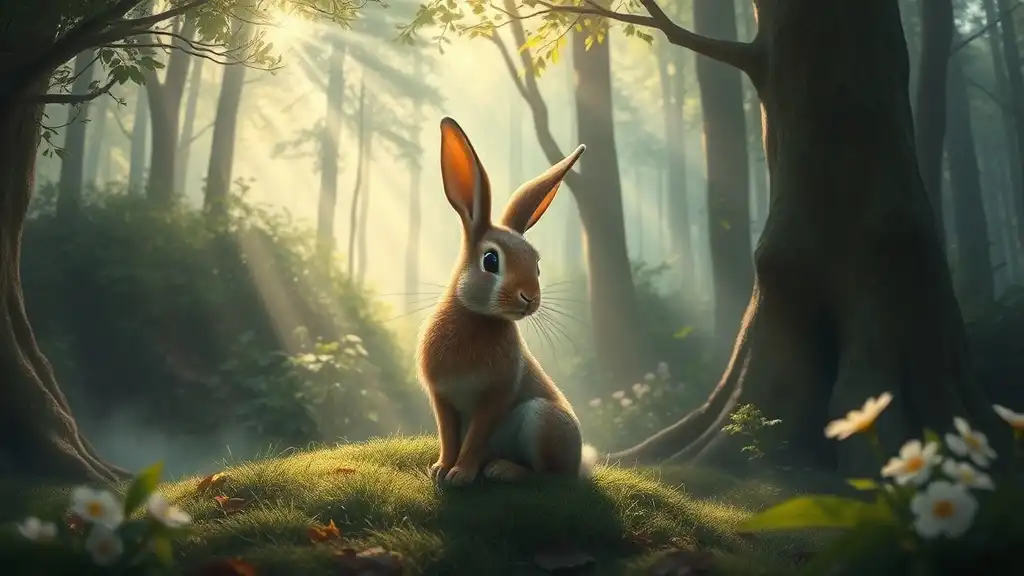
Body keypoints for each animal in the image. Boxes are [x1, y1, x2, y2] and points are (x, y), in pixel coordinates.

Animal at [415, 117, 598, 488]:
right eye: (490, 261)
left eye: (537, 266)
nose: (530, 298)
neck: (476, 317)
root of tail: (578, 462)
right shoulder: (442, 398)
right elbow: (448, 435)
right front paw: (440, 469)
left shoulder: (494, 398)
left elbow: (475, 437)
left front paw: (461, 475)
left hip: (543, 421)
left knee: (546, 476)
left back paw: (503, 469)